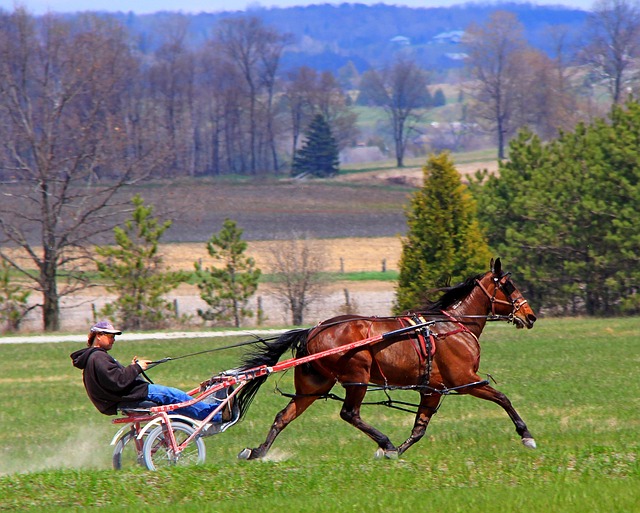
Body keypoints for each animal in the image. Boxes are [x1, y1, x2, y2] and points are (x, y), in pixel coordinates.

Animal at [234, 258, 536, 458]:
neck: (452, 326)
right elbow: (503, 398)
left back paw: (258, 451)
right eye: (509, 286)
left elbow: (419, 428)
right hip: (357, 377)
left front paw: (400, 451)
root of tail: (313, 330)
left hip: (314, 386)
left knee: (284, 416)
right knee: (349, 413)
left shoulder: (433, 389)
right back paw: (384, 442)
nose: (530, 316)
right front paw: (526, 435)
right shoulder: (465, 380)